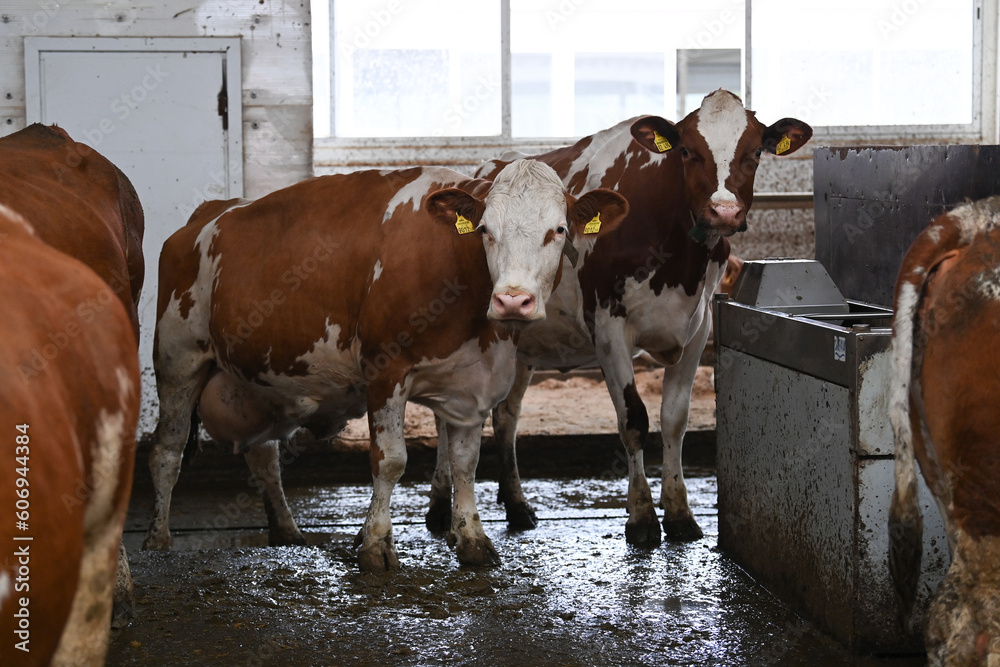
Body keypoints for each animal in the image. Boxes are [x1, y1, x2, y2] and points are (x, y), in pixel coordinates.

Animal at [143, 160, 627, 571]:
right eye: (486, 229)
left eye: (558, 229)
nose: (512, 300)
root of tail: (209, 212)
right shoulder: (384, 369)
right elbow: (390, 460)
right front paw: (375, 545)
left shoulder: (474, 382)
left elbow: (465, 462)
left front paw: (472, 539)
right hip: (177, 359)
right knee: (167, 449)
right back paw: (158, 538)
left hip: (256, 378)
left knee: (263, 455)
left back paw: (286, 529)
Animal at [427, 89, 811, 544]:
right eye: (687, 151)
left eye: (754, 152)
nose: (724, 212)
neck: (678, 256)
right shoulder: (609, 326)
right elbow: (633, 420)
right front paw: (642, 517)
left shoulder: (699, 328)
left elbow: (674, 418)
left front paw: (679, 512)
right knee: (445, 417)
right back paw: (438, 507)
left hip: (522, 344)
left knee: (507, 416)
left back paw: (516, 503)